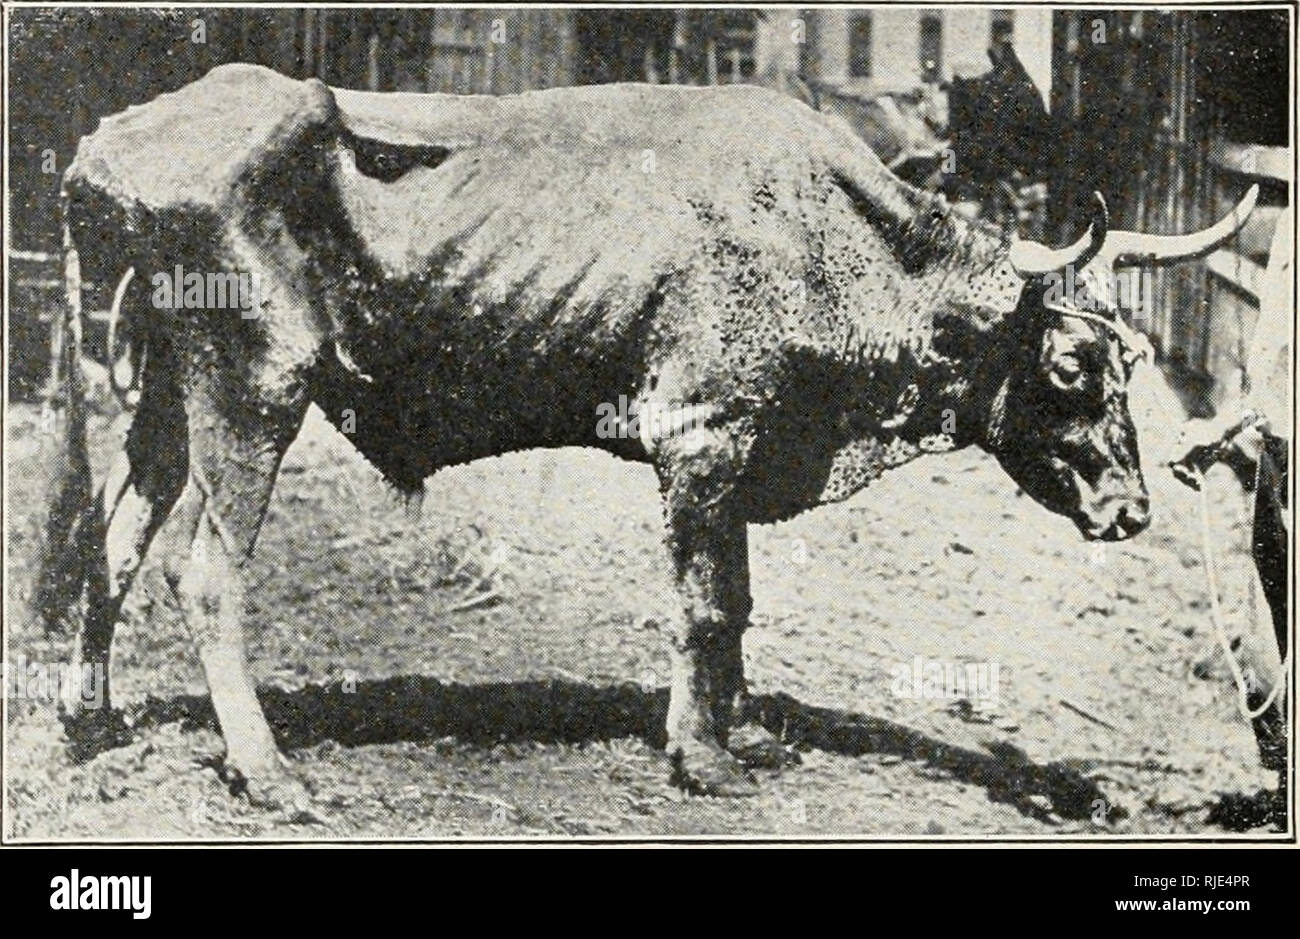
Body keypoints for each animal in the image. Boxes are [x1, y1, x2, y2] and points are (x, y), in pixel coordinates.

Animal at [35, 64, 1258, 812]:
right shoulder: (701, 437)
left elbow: (740, 603)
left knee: (115, 531)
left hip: (166, 391)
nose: (1131, 510)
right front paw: (701, 755)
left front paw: (741, 733)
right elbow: (704, 605)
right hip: (251, 388)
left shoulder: (750, 445)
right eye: (1070, 364)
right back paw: (267, 769)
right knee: (202, 571)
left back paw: (87, 715)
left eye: (1133, 366)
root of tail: (107, 140)